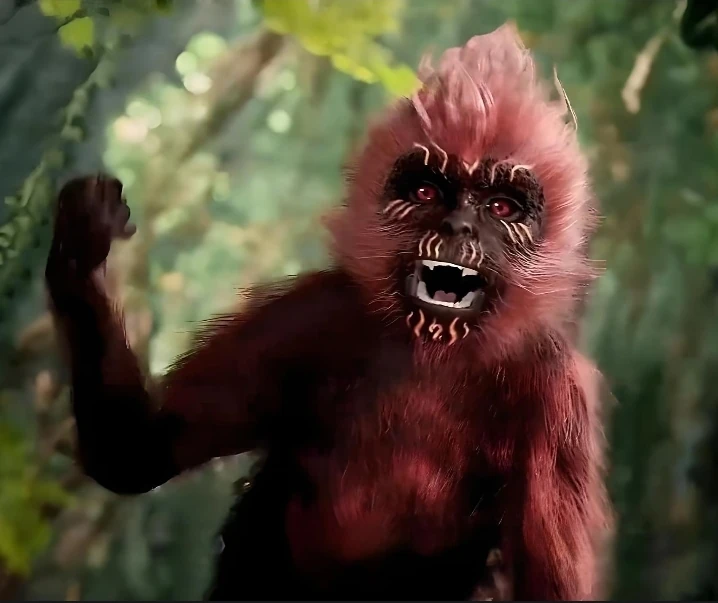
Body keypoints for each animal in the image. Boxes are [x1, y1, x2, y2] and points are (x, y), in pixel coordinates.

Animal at [44, 24, 612, 601]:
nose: (458, 228)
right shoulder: (313, 314)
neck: (432, 354)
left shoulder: (556, 391)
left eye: (500, 207)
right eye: (427, 190)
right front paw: (78, 249)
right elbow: (135, 453)